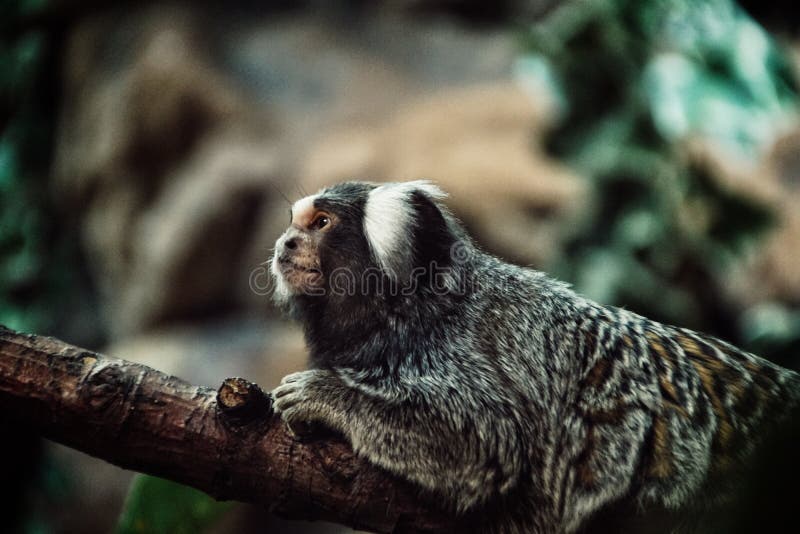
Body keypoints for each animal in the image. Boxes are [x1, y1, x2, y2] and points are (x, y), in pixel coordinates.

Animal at [269, 180, 800, 533]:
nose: (284, 243)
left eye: (321, 224)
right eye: (294, 224)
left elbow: (486, 441)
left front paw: (324, 395)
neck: (416, 311)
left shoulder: (458, 355)